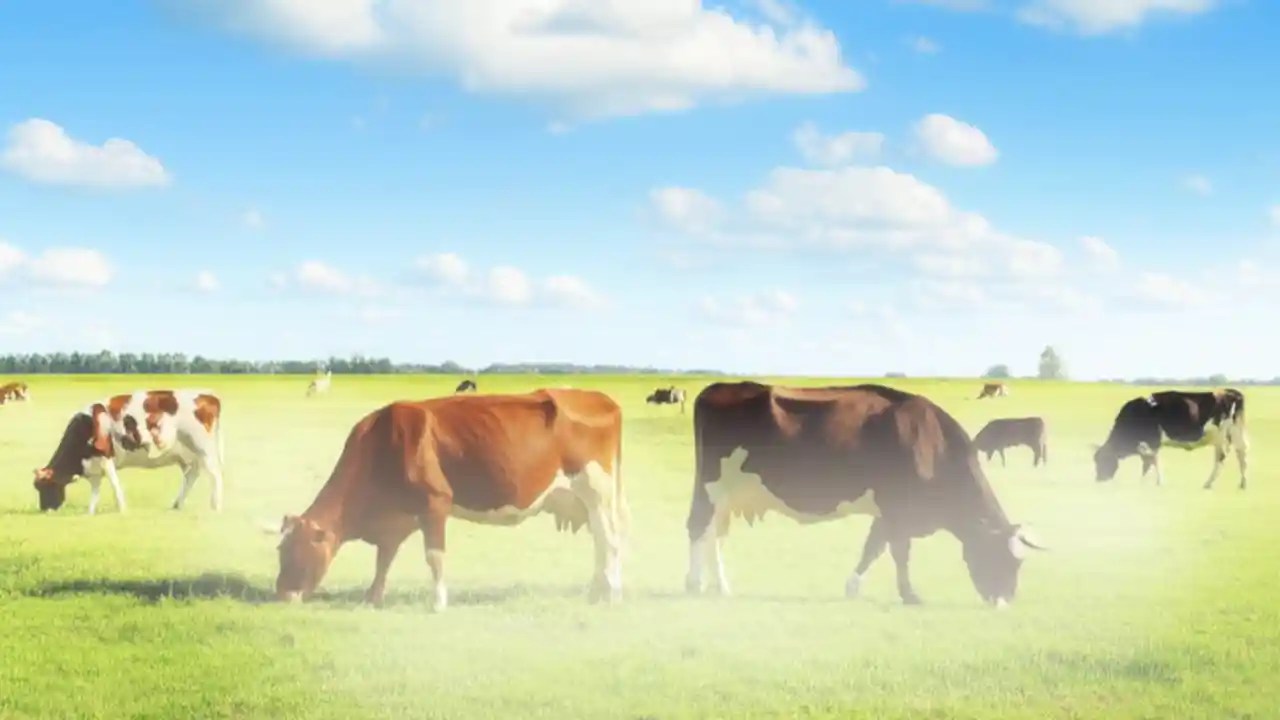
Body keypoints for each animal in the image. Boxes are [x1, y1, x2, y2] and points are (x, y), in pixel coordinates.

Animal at [32, 390, 226, 514]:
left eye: (46, 486)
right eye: (38, 488)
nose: (44, 509)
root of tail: (209, 397)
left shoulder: (105, 457)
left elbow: (114, 483)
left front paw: (122, 508)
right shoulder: (93, 467)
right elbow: (95, 490)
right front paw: (91, 512)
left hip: (203, 448)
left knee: (215, 474)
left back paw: (216, 505)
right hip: (191, 455)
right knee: (192, 475)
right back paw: (177, 504)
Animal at [270, 388, 629, 612]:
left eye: (298, 551)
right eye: (280, 551)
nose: (282, 594)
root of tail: (598, 397)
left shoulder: (435, 504)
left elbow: (435, 557)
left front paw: (438, 603)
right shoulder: (396, 519)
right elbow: (384, 559)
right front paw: (373, 597)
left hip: (596, 490)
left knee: (610, 542)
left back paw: (610, 594)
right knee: (601, 543)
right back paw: (596, 591)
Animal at [684, 381, 1046, 608]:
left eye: (1019, 562)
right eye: (1001, 558)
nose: (1005, 600)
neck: (930, 443)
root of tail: (719, 388)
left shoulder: (888, 511)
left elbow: (874, 547)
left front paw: (853, 587)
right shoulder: (899, 508)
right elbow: (899, 552)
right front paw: (909, 594)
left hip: (729, 496)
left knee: (715, 535)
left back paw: (720, 586)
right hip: (712, 486)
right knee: (698, 527)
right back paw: (694, 584)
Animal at [1092, 389, 1248, 490]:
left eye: (1104, 459)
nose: (1099, 479)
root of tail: (1232, 392)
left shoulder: (1152, 442)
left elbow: (1151, 462)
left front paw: (1152, 482)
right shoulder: (1145, 445)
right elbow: (1148, 461)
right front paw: (1148, 482)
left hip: (1222, 435)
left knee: (1222, 458)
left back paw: (1208, 484)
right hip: (1233, 433)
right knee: (1240, 454)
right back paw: (1242, 483)